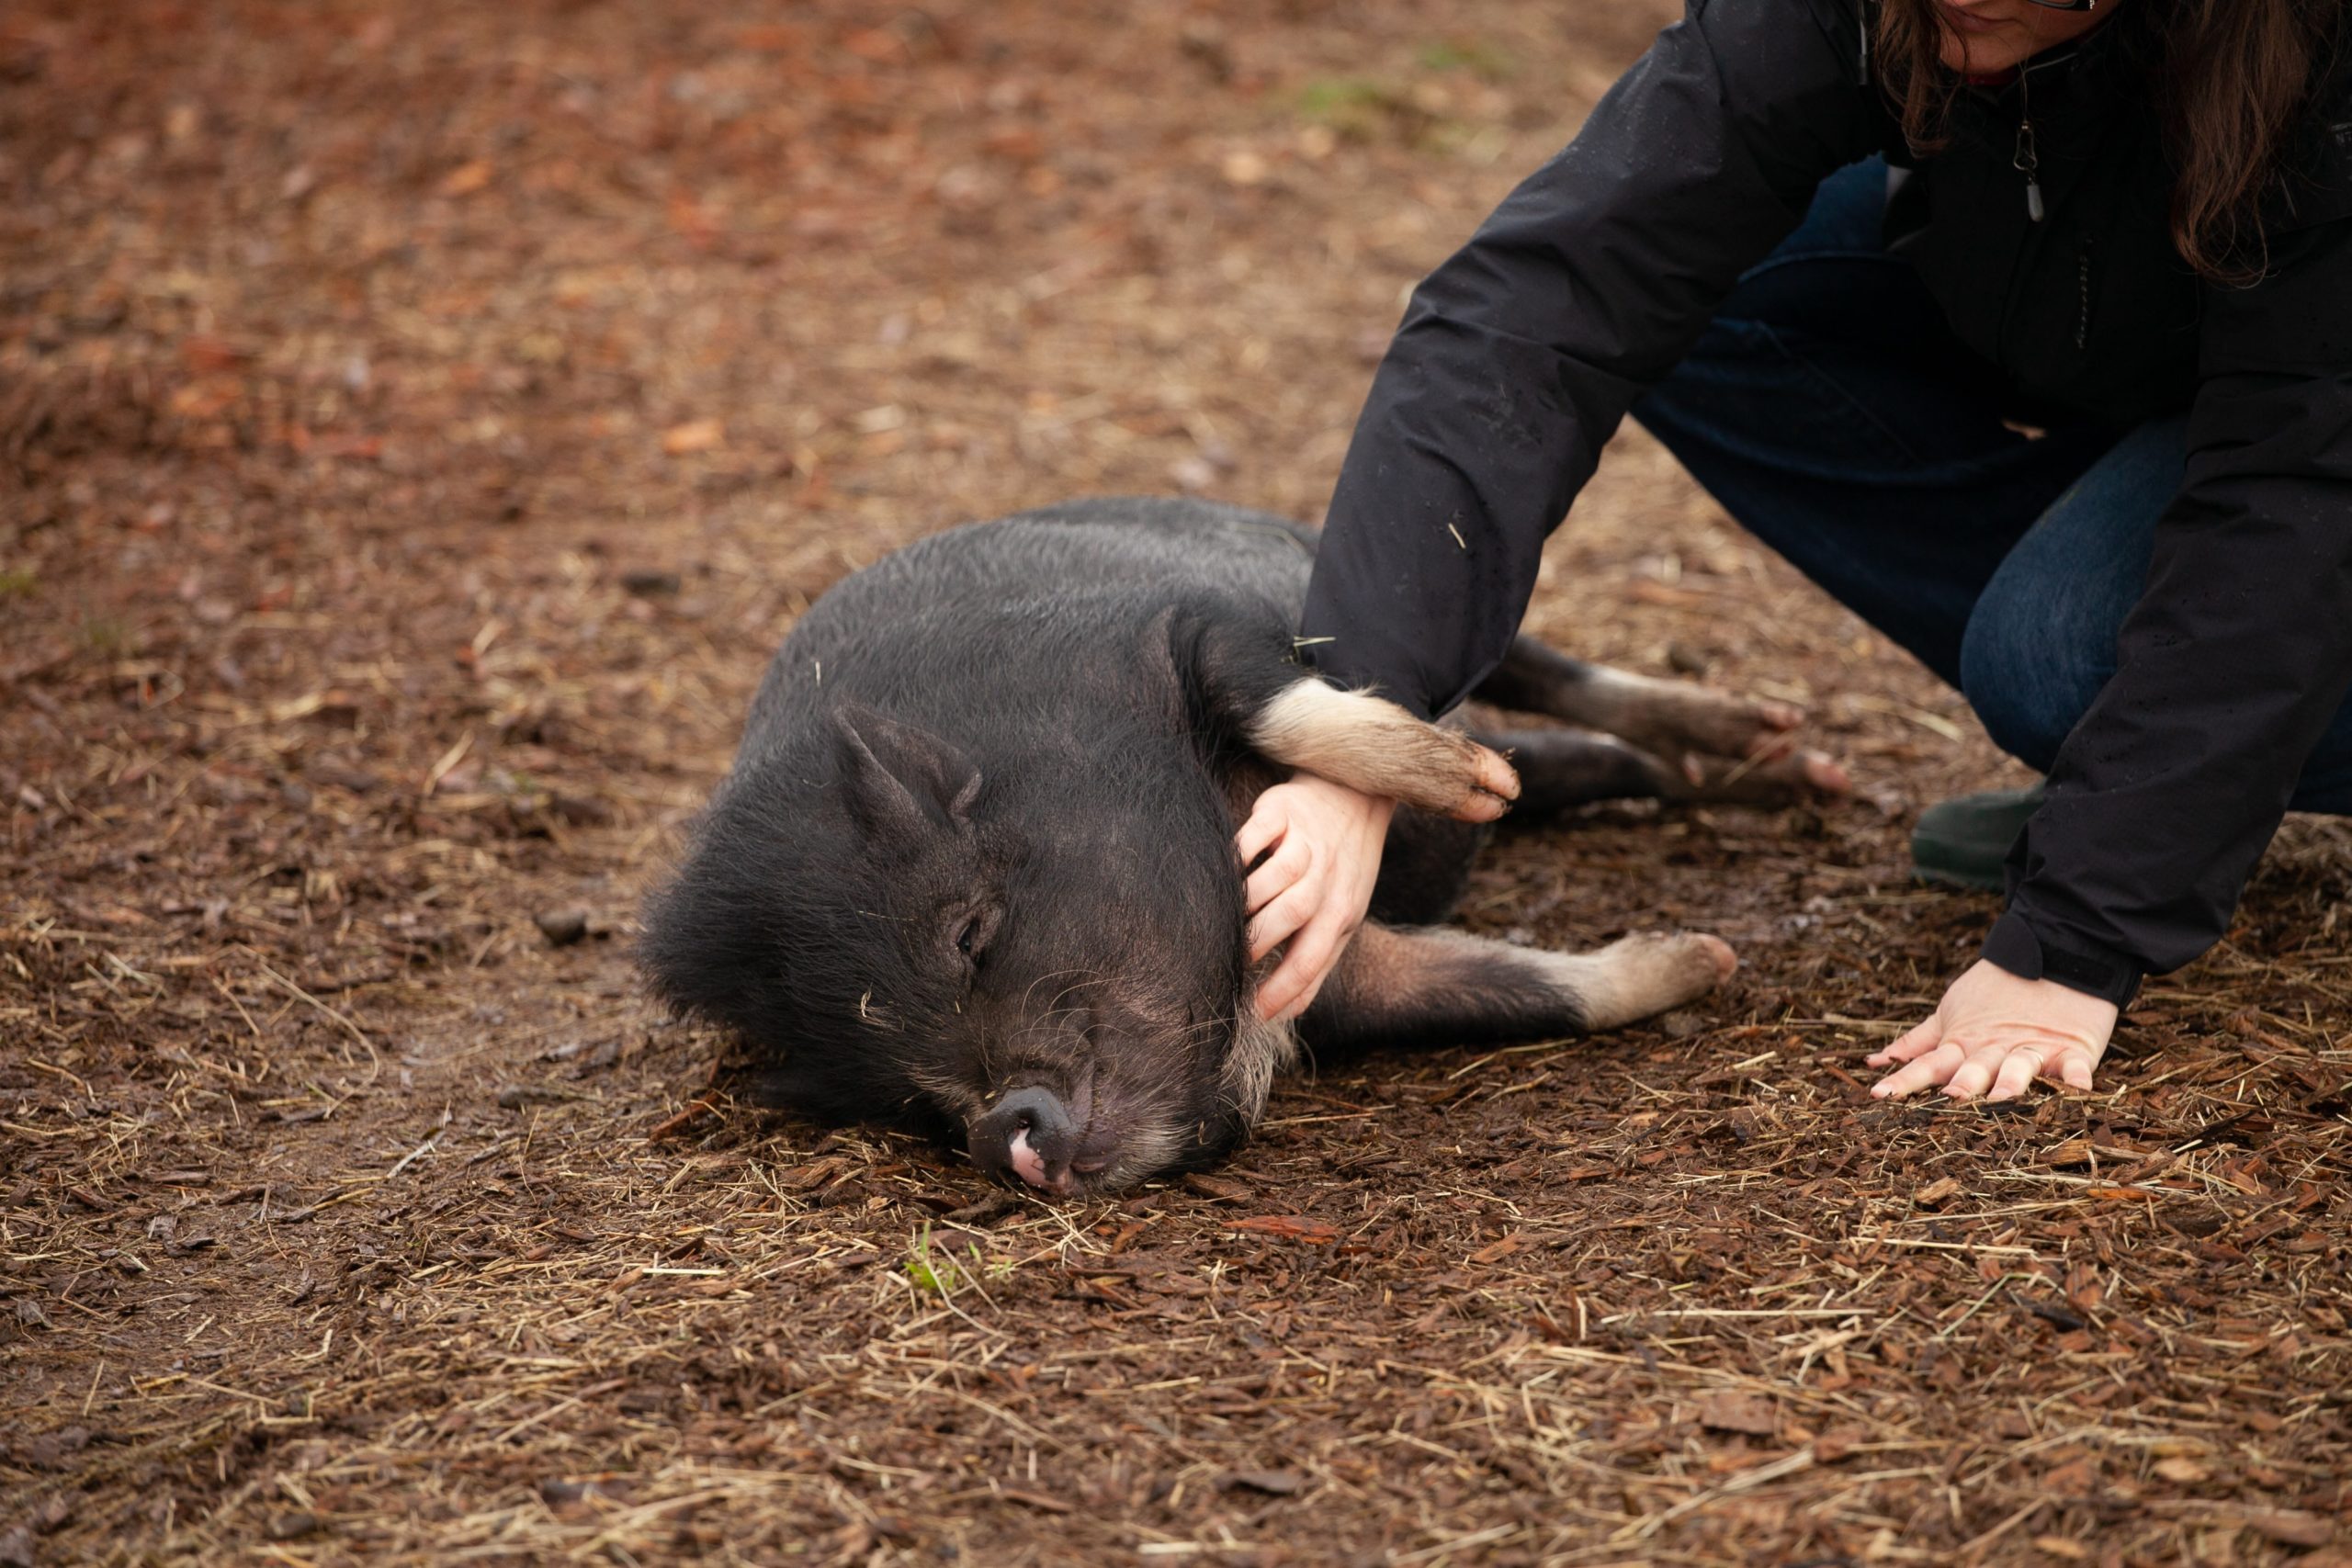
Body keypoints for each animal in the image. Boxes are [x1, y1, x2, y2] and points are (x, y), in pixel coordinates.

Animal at [639, 497, 1834, 1194]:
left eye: (970, 932)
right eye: (895, 1096)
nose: (998, 1135)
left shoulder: (1188, 627)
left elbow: (1288, 704)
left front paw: (1467, 789)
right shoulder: (1346, 978)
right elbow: (1520, 993)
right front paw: (1704, 958)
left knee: (1550, 674)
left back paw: (1776, 753)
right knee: (1563, 756)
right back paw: (1765, 777)